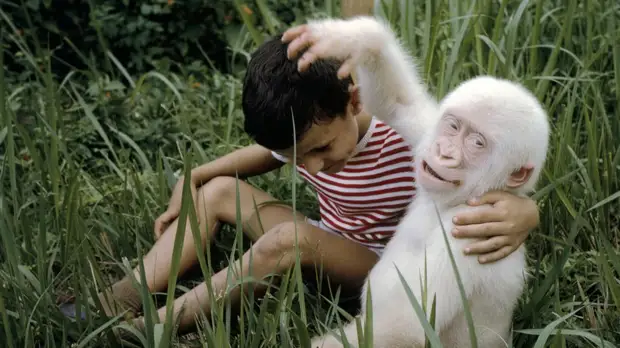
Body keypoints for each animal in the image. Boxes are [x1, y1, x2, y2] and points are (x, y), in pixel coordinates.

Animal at [284, 14, 548, 346]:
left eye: (477, 143)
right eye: (452, 126)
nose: (445, 152)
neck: (453, 204)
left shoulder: (470, 236)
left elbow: (403, 325)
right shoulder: (426, 131)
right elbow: (399, 103)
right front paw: (351, 39)